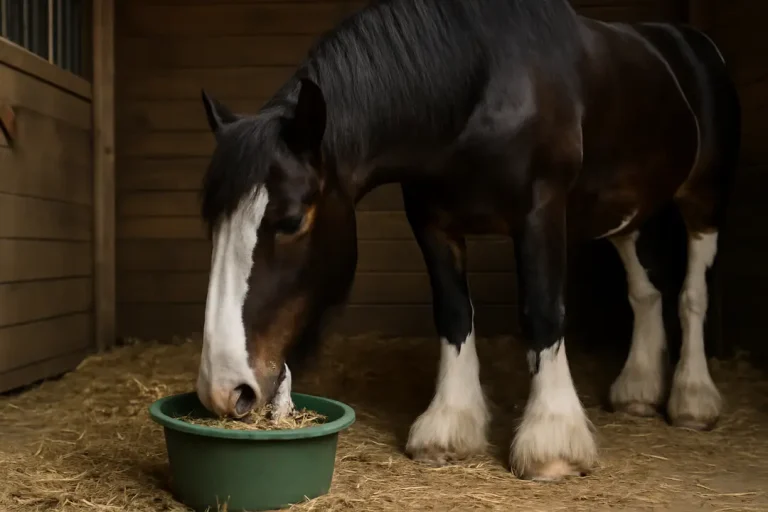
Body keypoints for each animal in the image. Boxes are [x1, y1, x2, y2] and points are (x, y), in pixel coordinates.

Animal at [194, 0, 741, 481]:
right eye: (211, 222)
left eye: (289, 221)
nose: (225, 391)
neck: (481, 89)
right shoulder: (432, 222)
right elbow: (455, 313)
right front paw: (449, 429)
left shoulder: (541, 213)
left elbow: (543, 313)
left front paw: (552, 442)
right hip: (626, 217)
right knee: (645, 293)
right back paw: (638, 391)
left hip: (704, 202)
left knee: (692, 296)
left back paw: (693, 399)